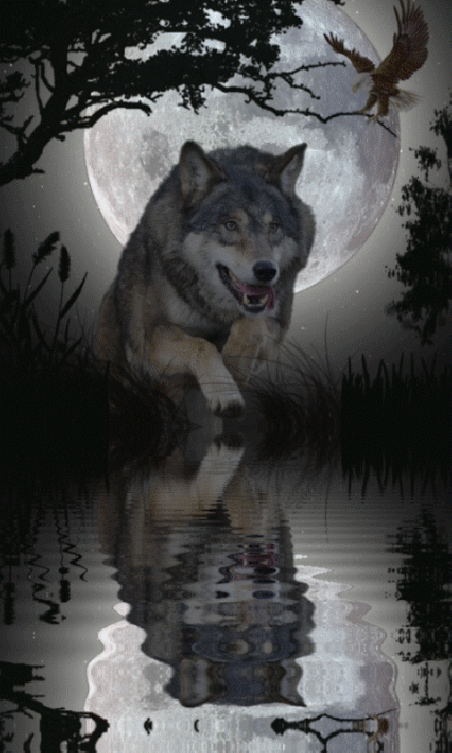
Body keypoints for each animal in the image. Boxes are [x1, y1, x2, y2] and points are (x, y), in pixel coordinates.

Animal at [95, 140, 315, 415]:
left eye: (274, 227)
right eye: (230, 225)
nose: (266, 271)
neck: (215, 313)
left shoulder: (275, 328)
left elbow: (252, 326)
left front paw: (235, 363)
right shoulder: (151, 339)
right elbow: (202, 346)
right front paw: (225, 392)